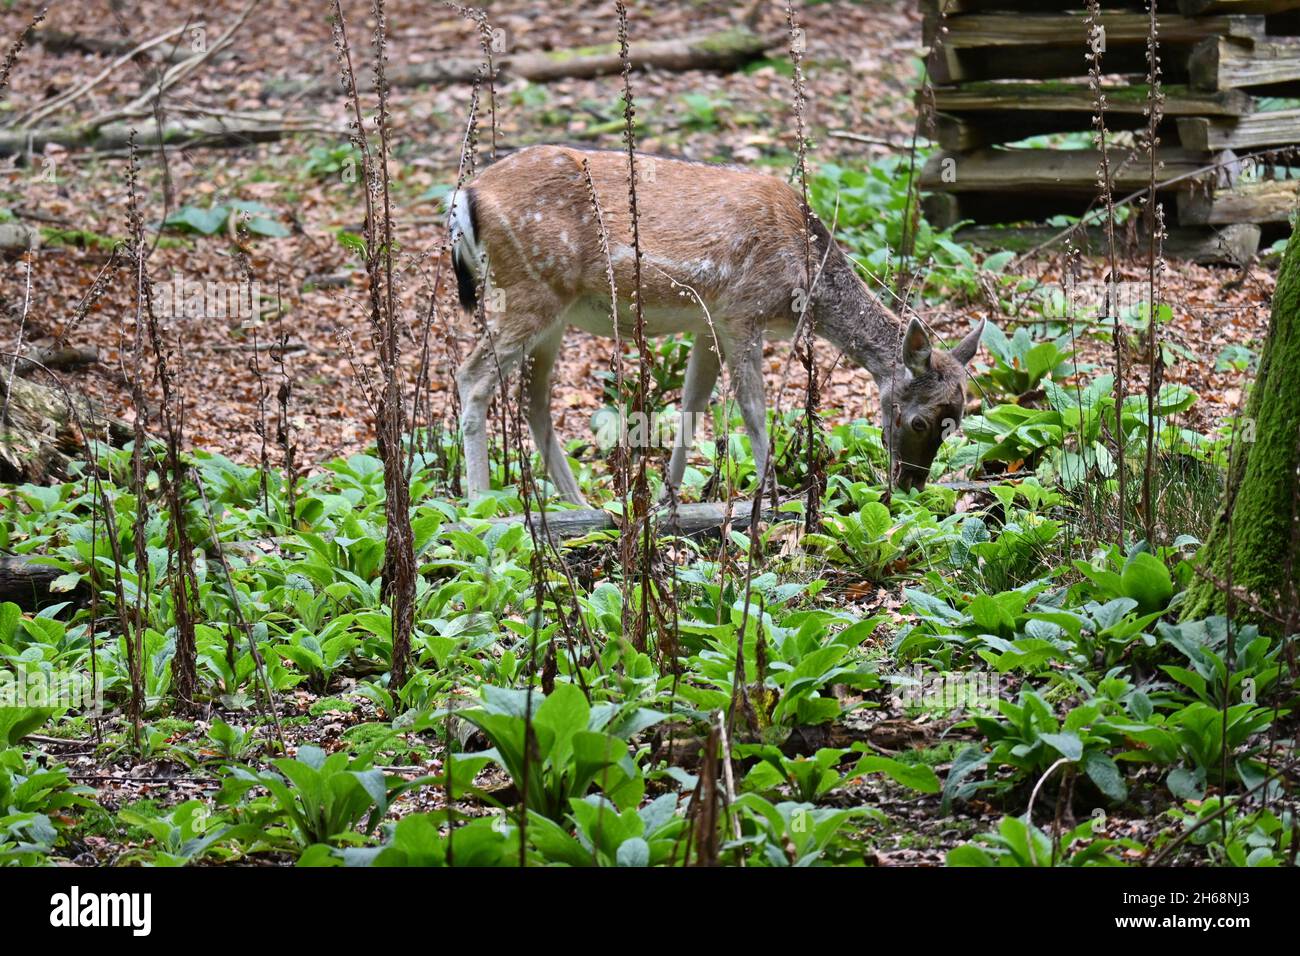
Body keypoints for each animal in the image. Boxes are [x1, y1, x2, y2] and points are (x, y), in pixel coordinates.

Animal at [448, 144, 986, 507]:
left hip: (553, 310)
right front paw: (772, 497)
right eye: (920, 421)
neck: (802, 283)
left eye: (958, 422)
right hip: (529, 290)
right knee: (472, 377)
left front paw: (667, 498)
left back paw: (580, 506)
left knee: (533, 400)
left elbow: (691, 406)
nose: (912, 483)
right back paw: (481, 506)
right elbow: (753, 409)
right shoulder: (741, 312)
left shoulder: (709, 322)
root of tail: (464, 198)